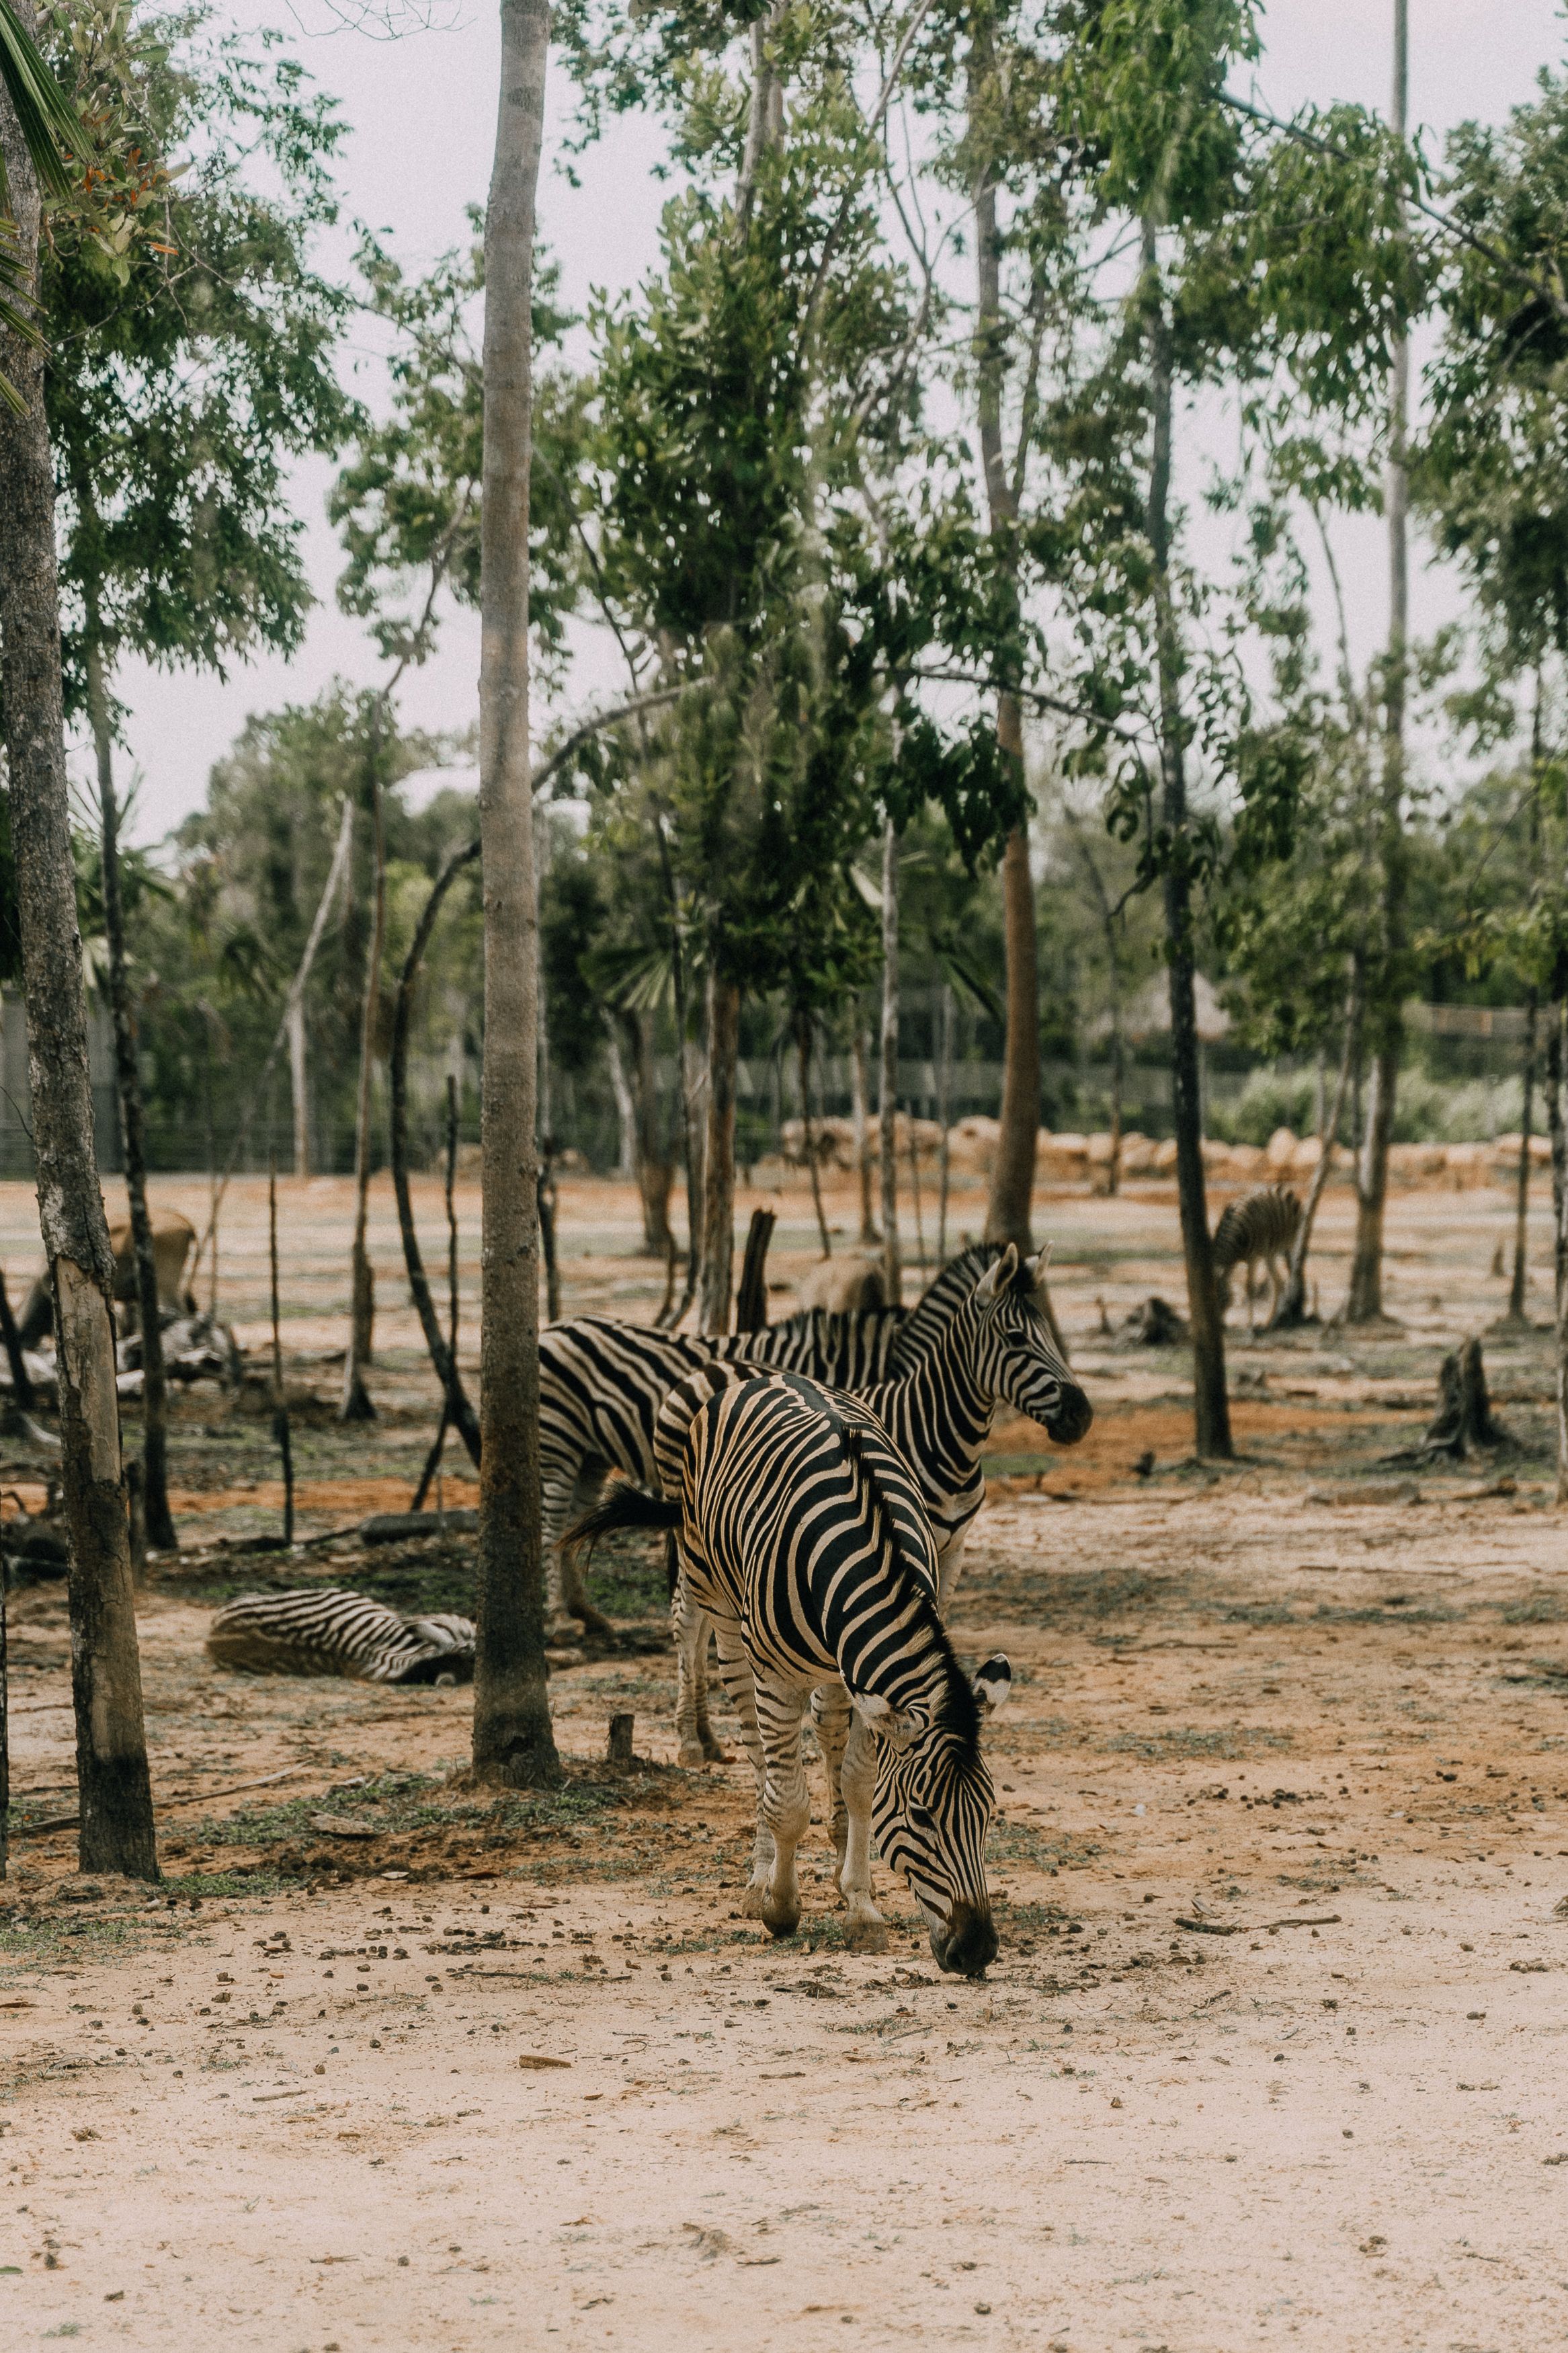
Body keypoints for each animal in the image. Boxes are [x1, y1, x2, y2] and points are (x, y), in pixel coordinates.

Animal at [538, 1247, 1001, 1637]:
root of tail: (552, 1327)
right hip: (559, 1440)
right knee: (551, 1524)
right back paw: (557, 1623)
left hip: (590, 1454)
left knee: (573, 1522)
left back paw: (587, 1616)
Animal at [568, 1370, 1012, 1975]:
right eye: (921, 1816)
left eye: (988, 1814)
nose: (977, 1952)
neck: (860, 1557)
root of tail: (767, 1375)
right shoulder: (778, 1679)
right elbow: (787, 1802)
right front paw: (780, 1907)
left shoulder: (867, 1683)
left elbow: (859, 1784)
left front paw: (861, 1905)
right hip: (722, 1610)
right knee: (757, 1750)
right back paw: (759, 1878)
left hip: (829, 1673)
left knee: (824, 1734)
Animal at [661, 1242, 1090, 1769]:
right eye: (1015, 1338)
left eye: (1047, 1331)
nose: (1081, 1416)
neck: (939, 1433)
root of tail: (703, 1371)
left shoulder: (950, 1549)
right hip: (689, 1532)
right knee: (687, 1619)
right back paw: (688, 1740)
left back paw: (706, 1735)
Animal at [1212, 1184, 1303, 1333]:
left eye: (1221, 1298)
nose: (1219, 1328)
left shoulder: (1252, 1258)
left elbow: (1250, 1289)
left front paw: (1250, 1326)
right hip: (1270, 1253)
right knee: (1278, 1282)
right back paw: (1271, 1323)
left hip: (1287, 1244)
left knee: (1288, 1276)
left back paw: (1285, 1320)